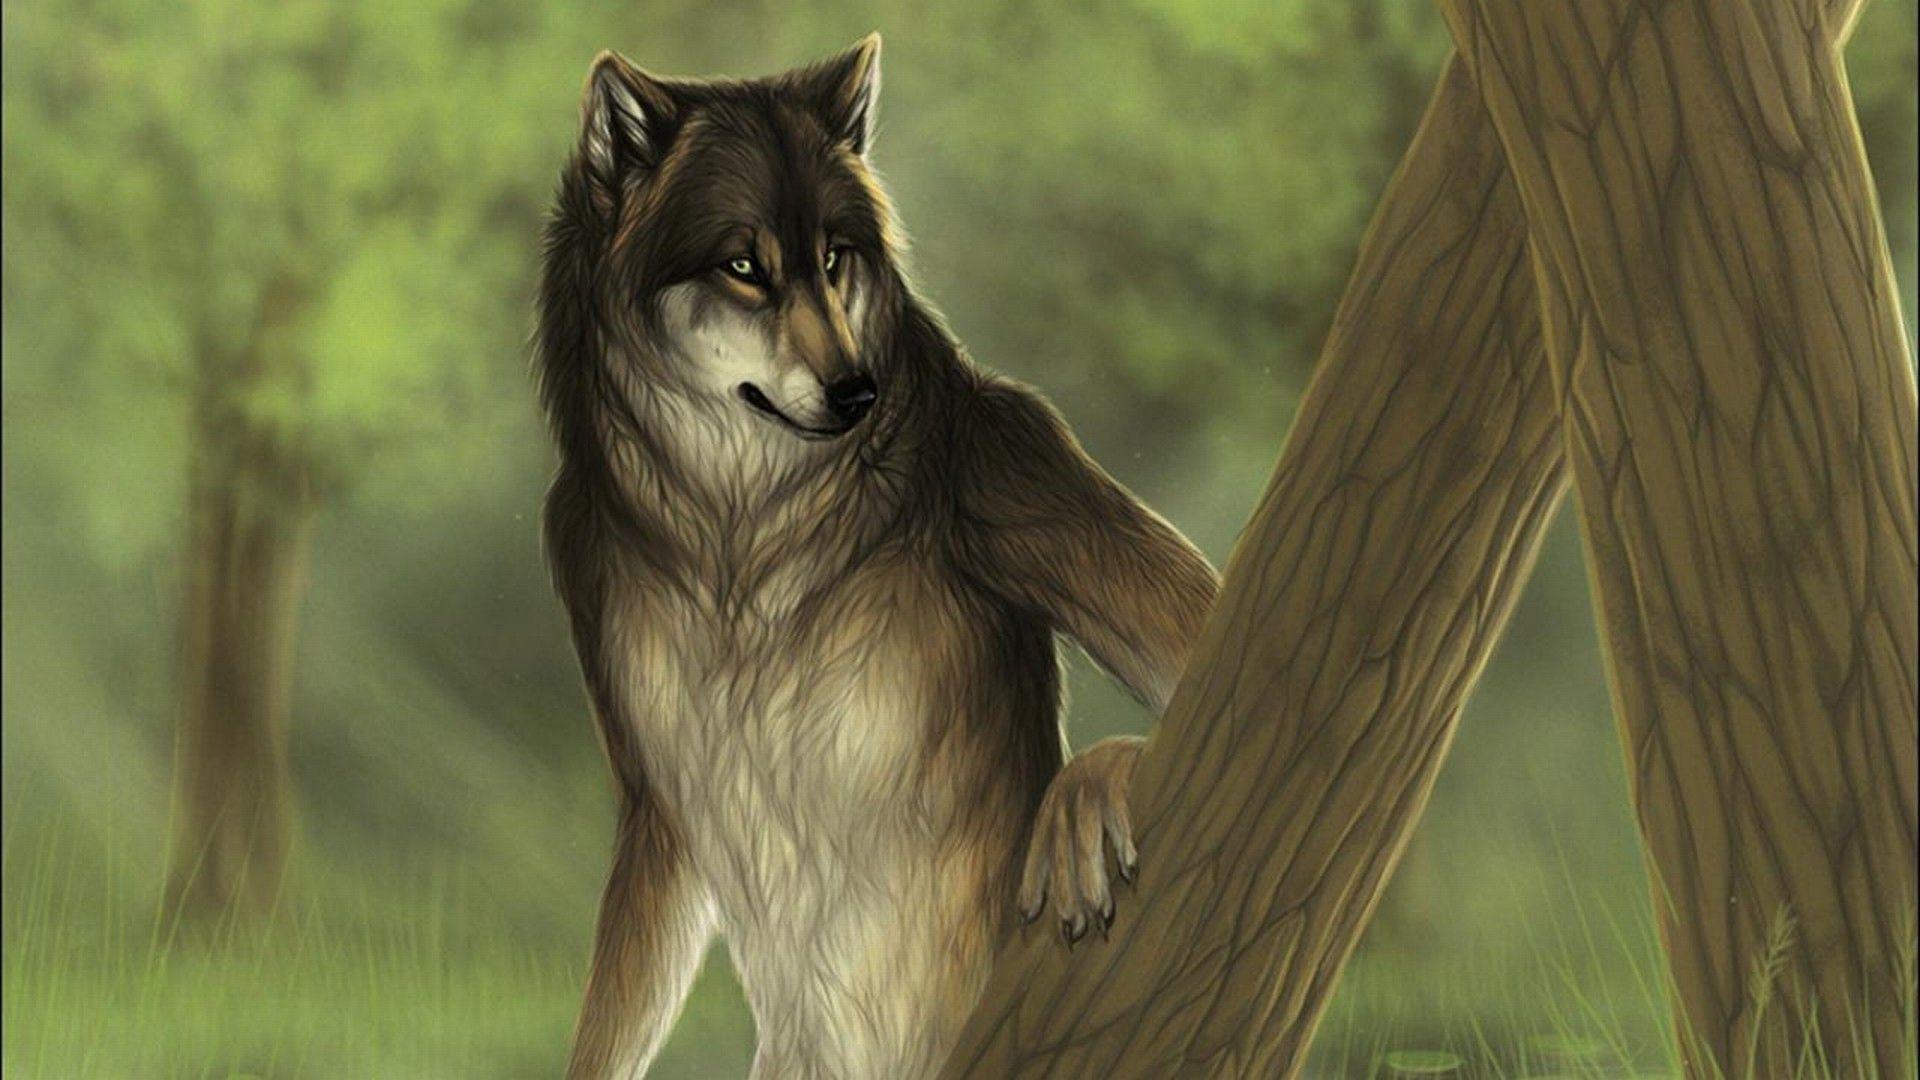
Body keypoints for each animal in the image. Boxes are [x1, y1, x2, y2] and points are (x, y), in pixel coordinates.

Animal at [535, 34, 1220, 1079]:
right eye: (744, 265)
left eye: (832, 257)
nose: (858, 391)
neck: (737, 536)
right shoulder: (652, 792)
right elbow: (614, 1020)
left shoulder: (1006, 458)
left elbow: (1207, 645)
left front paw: (1093, 785)